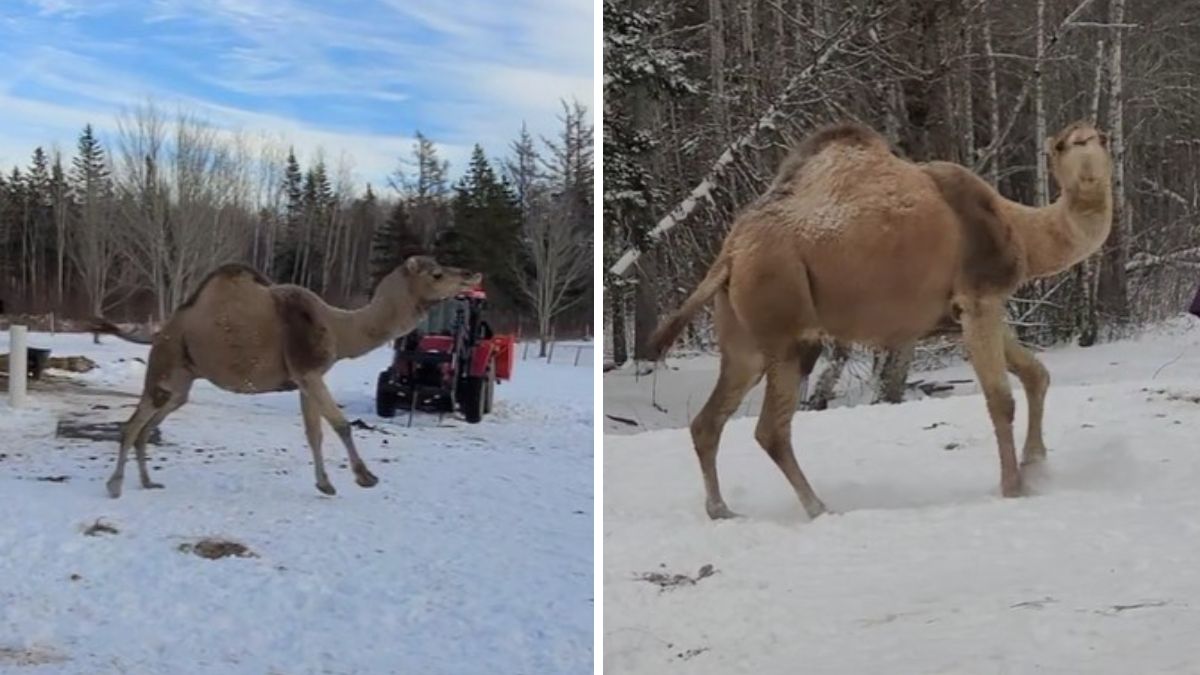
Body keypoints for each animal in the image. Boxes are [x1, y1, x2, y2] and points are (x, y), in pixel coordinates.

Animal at [93, 255, 481, 498]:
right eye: (436, 274)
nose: (472, 275)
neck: (339, 328)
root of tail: (160, 331)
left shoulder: (303, 380)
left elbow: (314, 434)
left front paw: (326, 485)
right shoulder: (309, 370)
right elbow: (340, 424)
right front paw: (365, 477)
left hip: (183, 380)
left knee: (150, 424)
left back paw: (148, 483)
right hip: (166, 365)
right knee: (133, 424)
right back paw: (114, 486)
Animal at [650, 121, 1113, 520]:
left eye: (1099, 138)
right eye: (1064, 145)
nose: (1090, 166)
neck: (1018, 229)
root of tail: (729, 255)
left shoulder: (971, 309)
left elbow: (1036, 374)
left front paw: (1037, 464)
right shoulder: (979, 297)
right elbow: (1001, 399)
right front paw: (1014, 487)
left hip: (742, 335)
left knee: (708, 421)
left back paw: (721, 510)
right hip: (786, 321)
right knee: (771, 429)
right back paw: (819, 507)